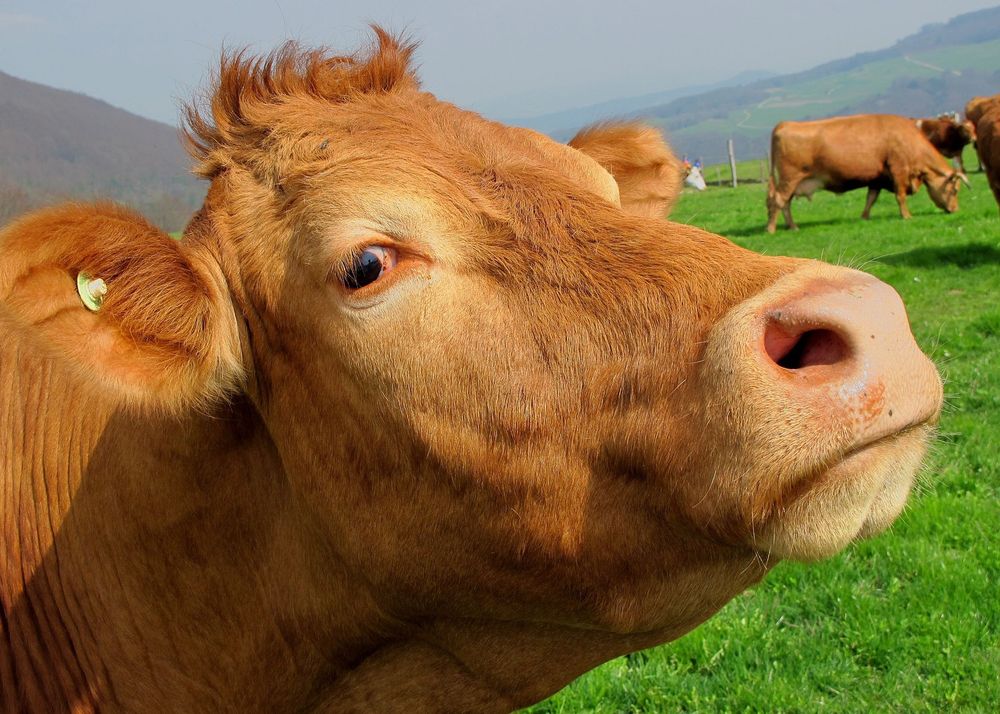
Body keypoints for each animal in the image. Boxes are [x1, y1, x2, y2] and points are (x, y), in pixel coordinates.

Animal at [766, 114, 969, 233]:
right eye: (955, 190)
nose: (955, 210)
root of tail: (784, 124)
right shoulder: (898, 170)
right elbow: (900, 196)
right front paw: (906, 216)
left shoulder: (876, 178)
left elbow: (871, 198)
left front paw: (864, 217)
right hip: (790, 178)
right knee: (778, 201)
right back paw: (773, 228)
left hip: (791, 182)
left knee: (784, 203)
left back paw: (791, 226)